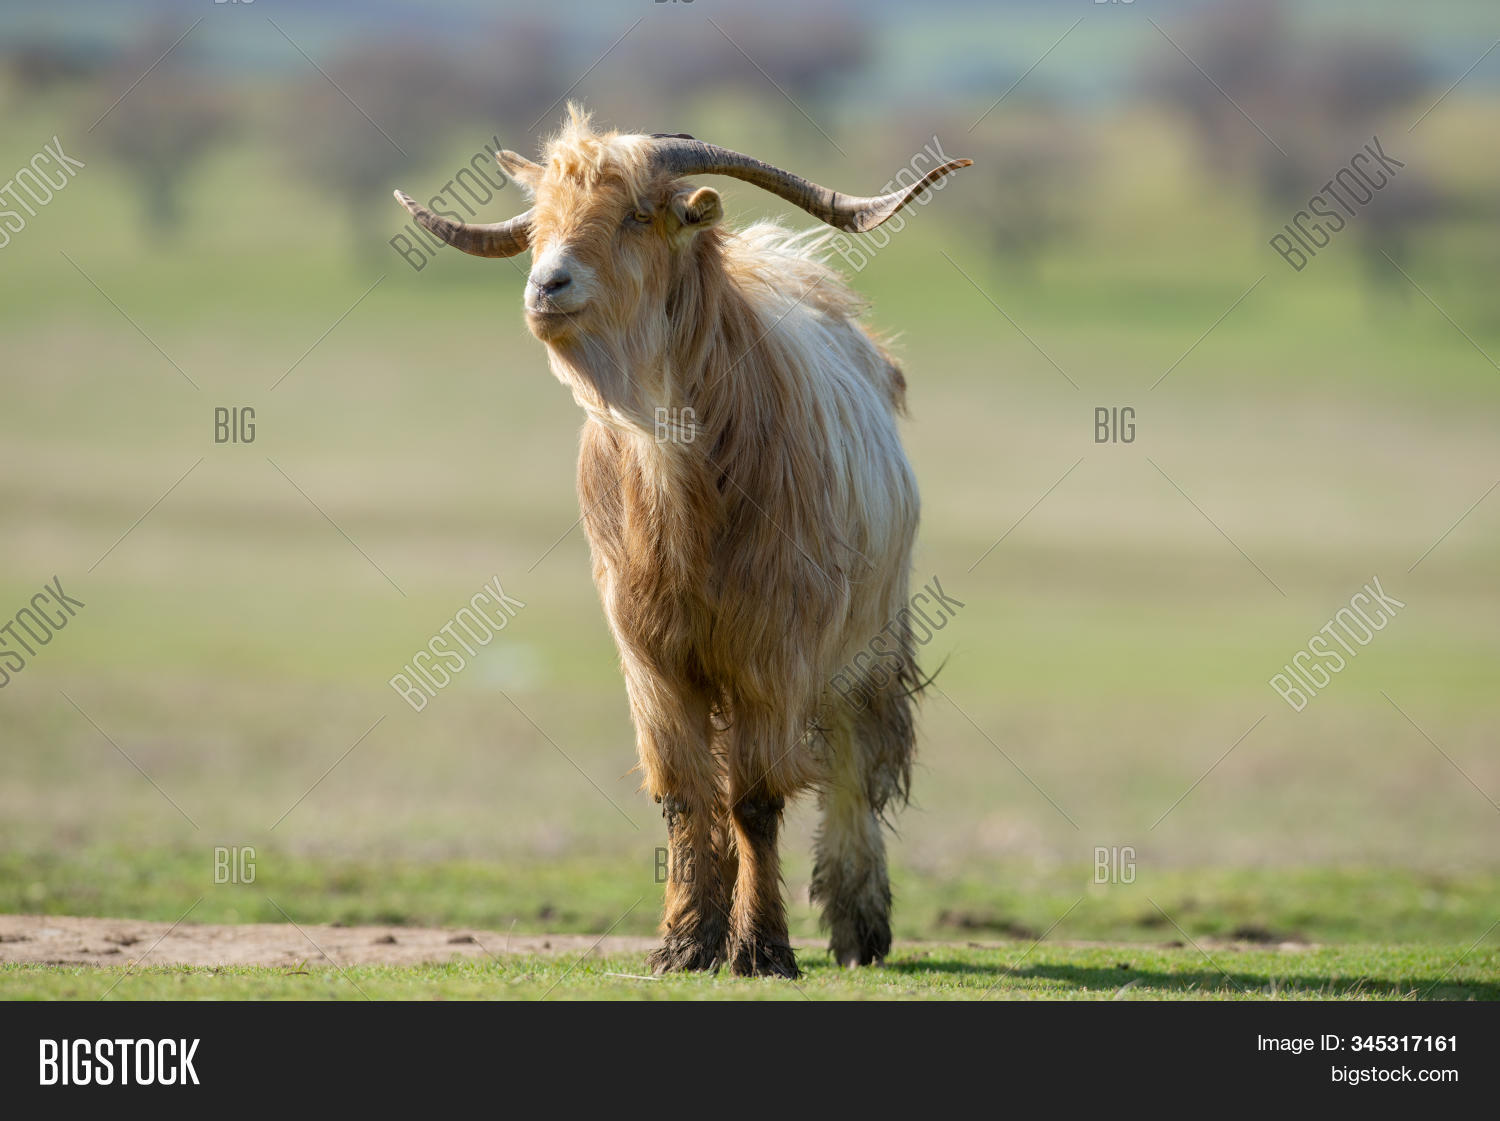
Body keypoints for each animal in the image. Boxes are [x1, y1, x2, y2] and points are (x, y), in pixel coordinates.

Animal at [395, 106, 969, 977]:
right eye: (542, 221)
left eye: (637, 214)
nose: (546, 286)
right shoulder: (652, 653)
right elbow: (683, 793)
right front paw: (685, 940)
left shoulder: (774, 648)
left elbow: (757, 797)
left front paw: (763, 947)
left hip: (864, 643)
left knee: (852, 764)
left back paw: (858, 925)